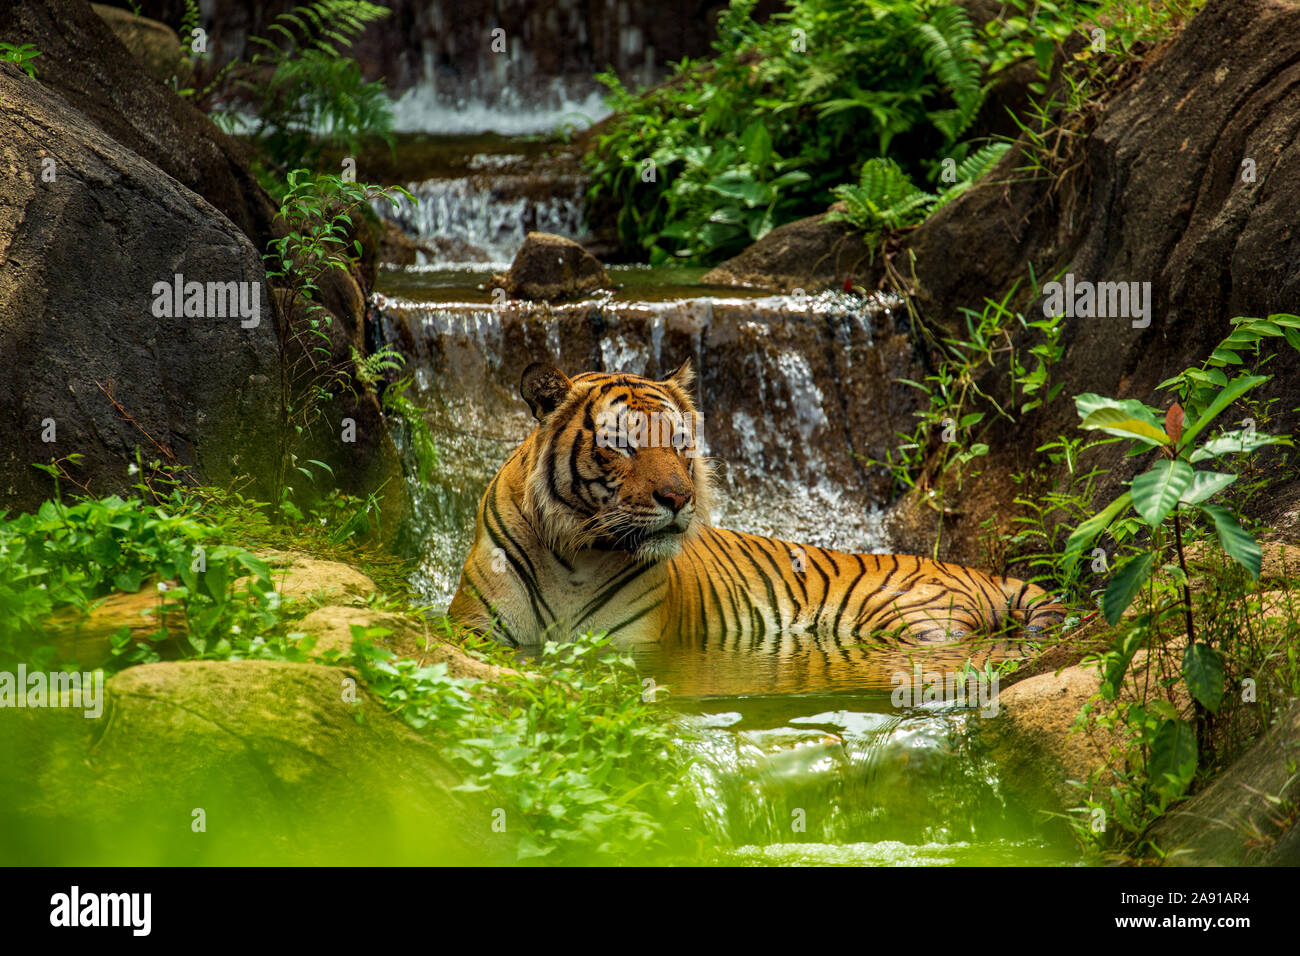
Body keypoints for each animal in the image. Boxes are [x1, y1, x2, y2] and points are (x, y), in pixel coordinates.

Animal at [448, 360, 1065, 647]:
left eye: (680, 442)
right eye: (620, 441)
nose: (679, 497)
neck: (577, 556)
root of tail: (976, 570)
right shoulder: (479, 631)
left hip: (913, 618)